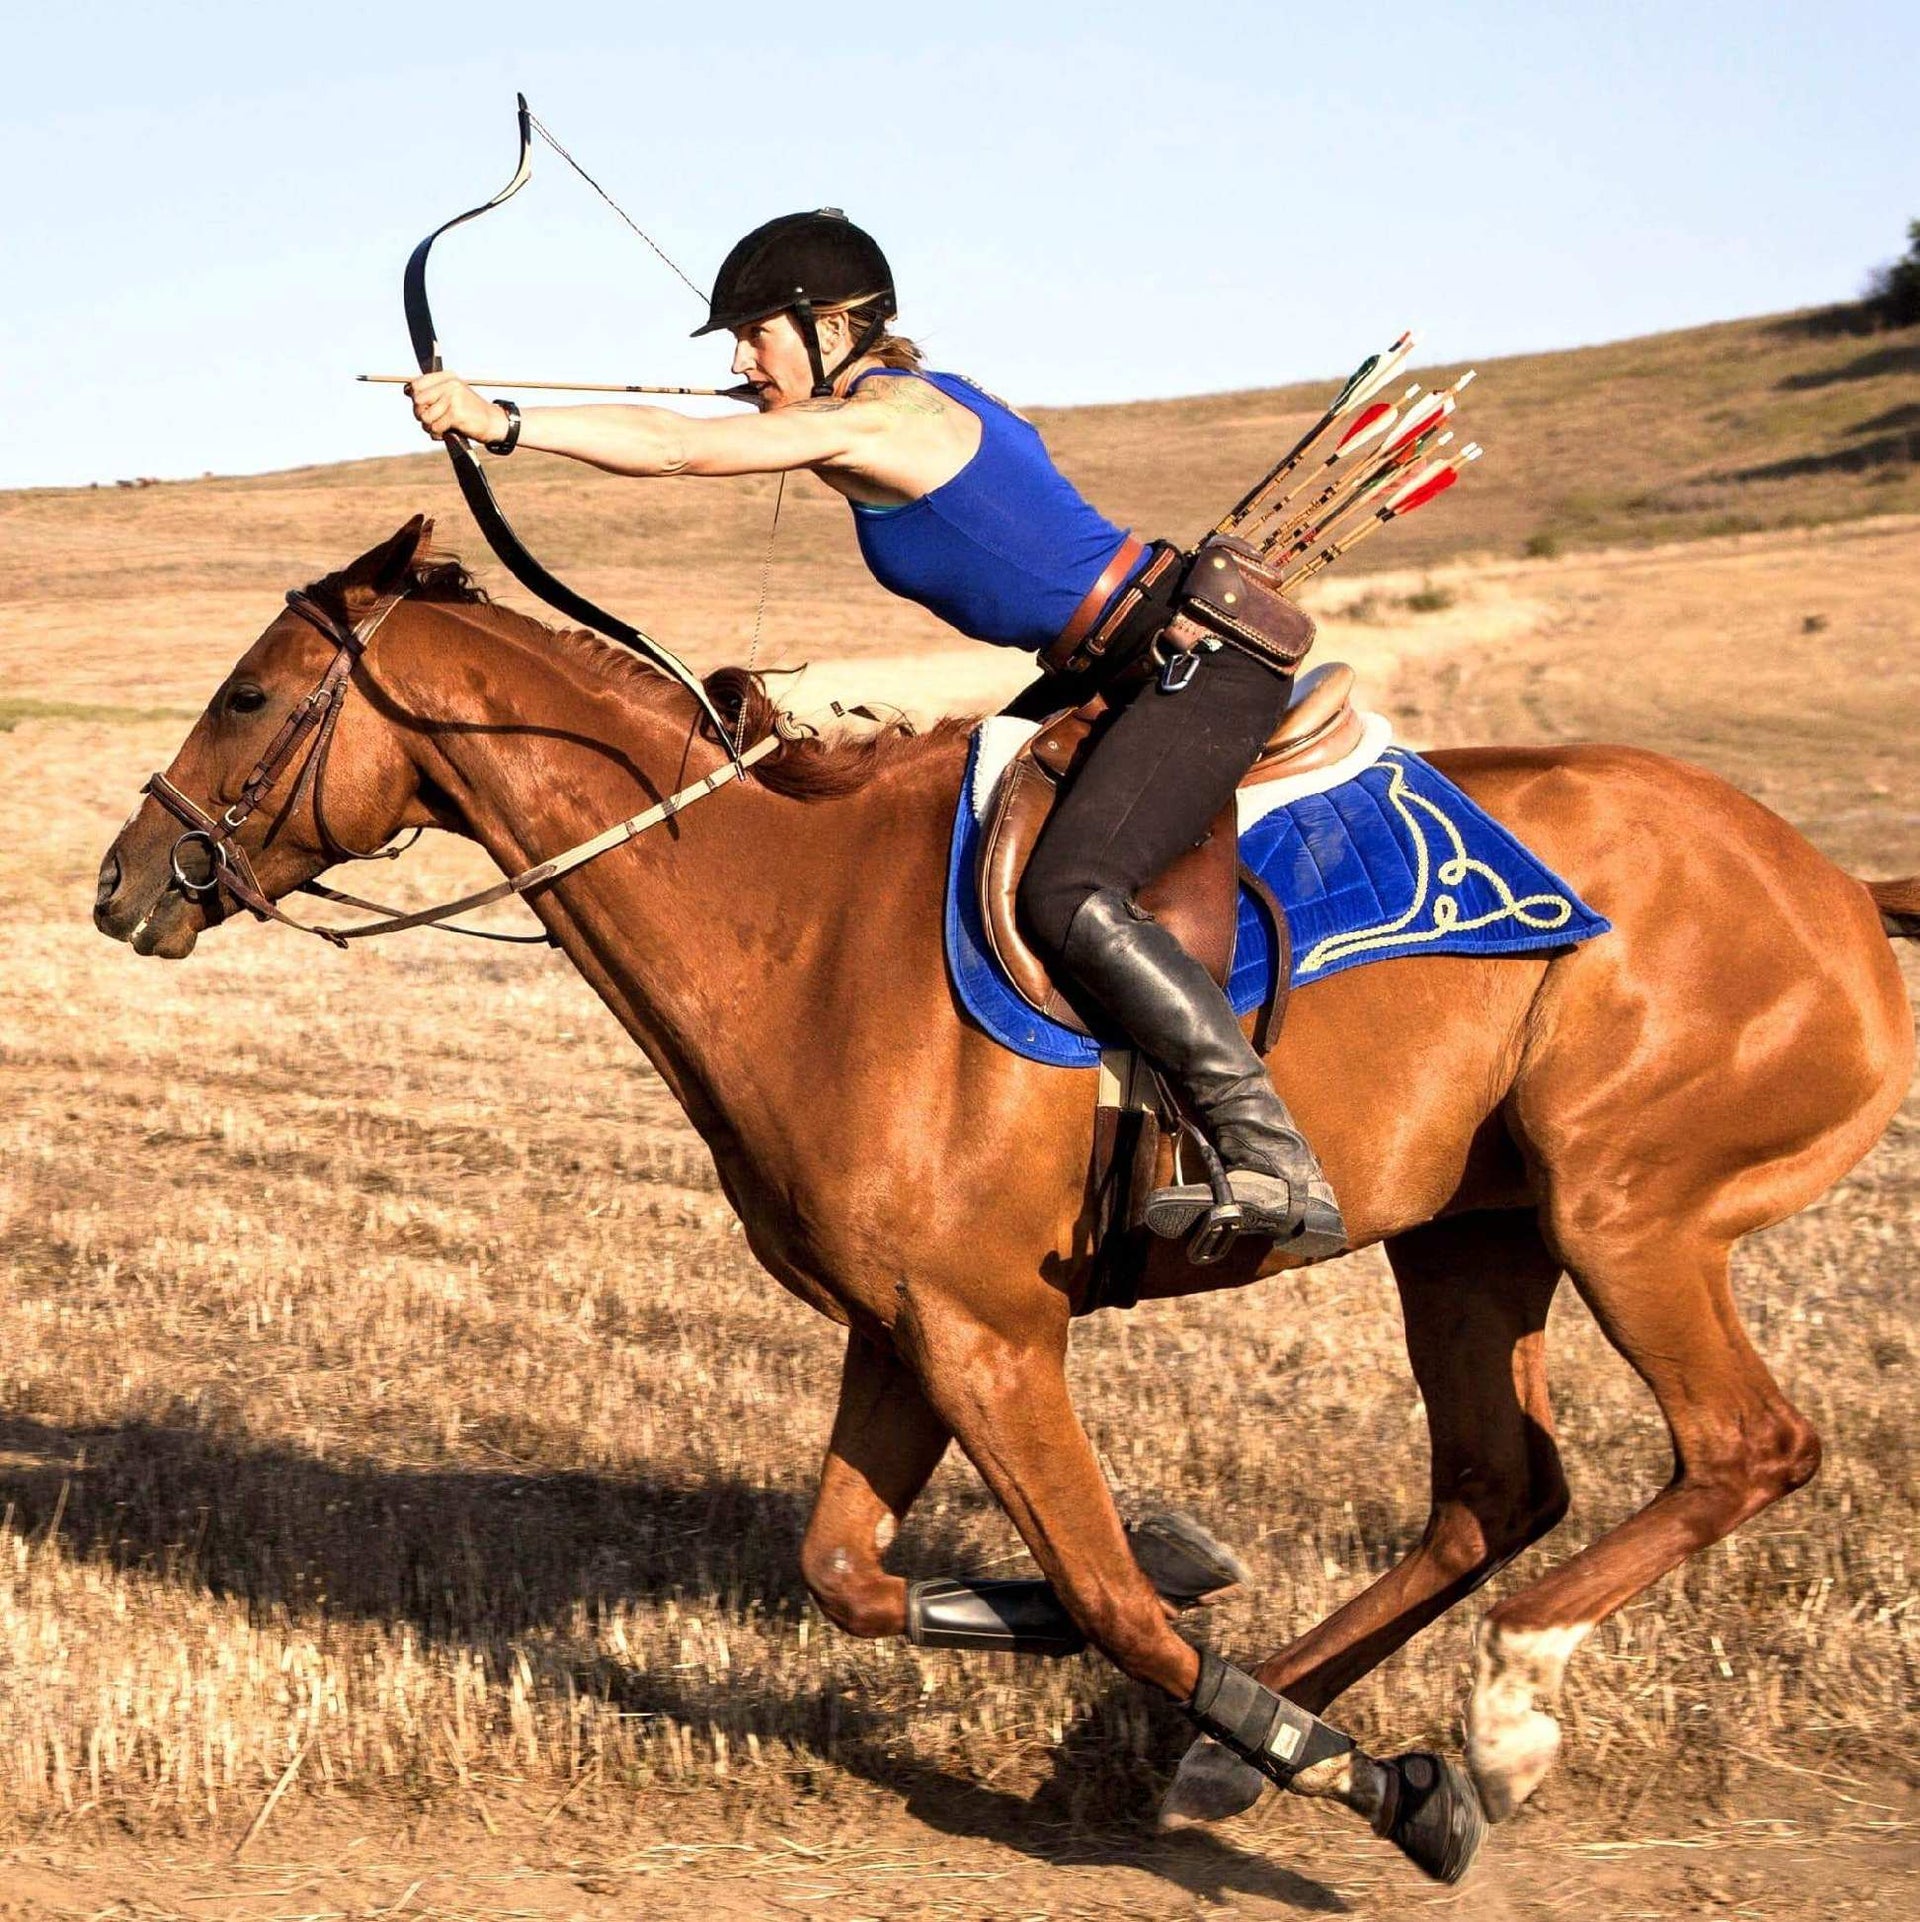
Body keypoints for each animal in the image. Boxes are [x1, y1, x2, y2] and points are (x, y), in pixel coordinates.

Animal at [94, 519, 1917, 1877]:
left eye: (249, 696)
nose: (121, 882)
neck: (796, 921)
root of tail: (1834, 883)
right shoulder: (900, 1334)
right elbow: (855, 1569)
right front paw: (1192, 1595)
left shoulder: (994, 1334)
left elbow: (1105, 1593)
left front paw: (1379, 1775)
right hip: (1477, 1241)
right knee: (1497, 1488)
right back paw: (1220, 1755)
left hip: (1631, 1213)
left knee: (1742, 1446)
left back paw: (1497, 1717)